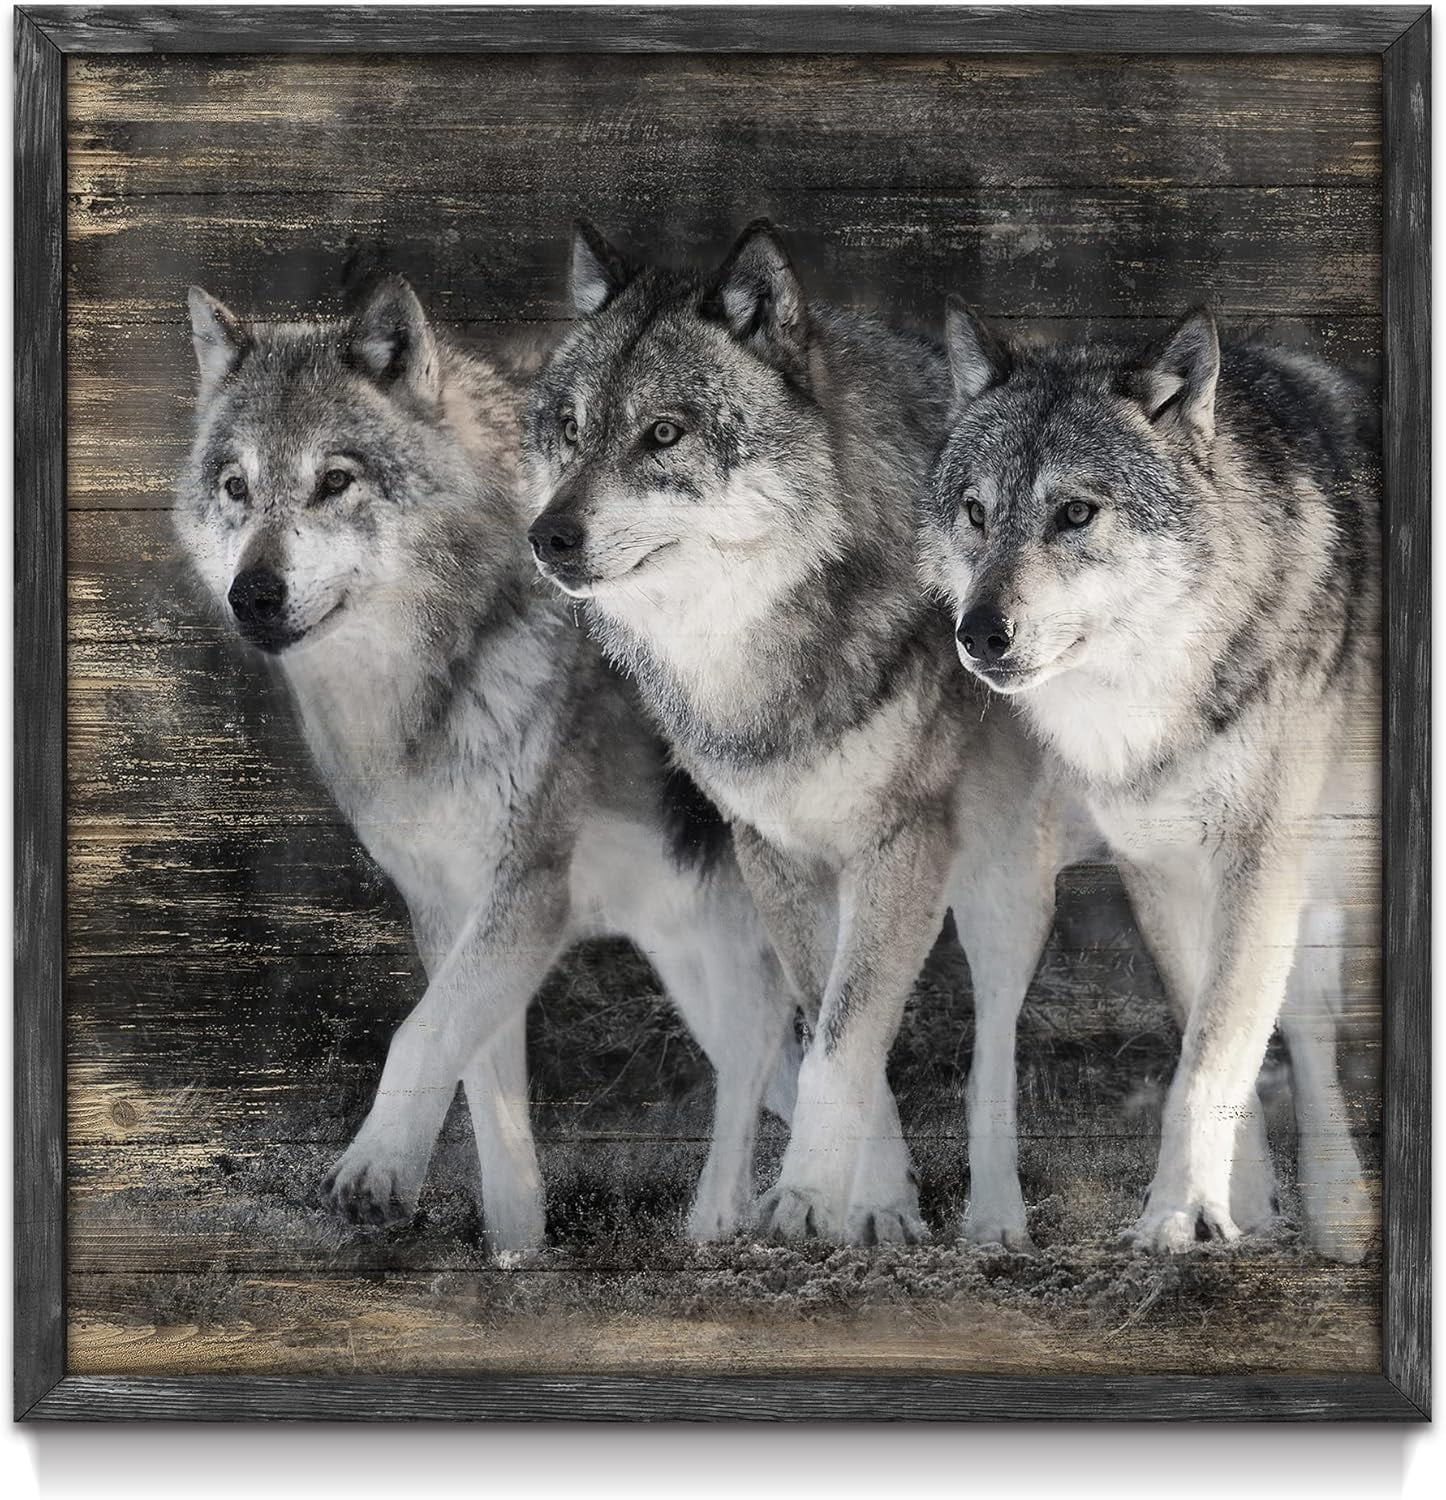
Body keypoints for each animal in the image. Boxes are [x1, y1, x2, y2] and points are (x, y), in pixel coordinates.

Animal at [177, 276, 801, 1252]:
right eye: (237, 487)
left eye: (335, 481)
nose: (254, 594)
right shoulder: (450, 911)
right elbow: (494, 1118)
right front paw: (515, 1258)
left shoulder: (528, 895)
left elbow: (418, 1036)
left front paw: (374, 1173)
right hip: (693, 964)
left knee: (773, 1052)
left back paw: (725, 1222)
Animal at [519, 220, 1096, 1248]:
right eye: (573, 431)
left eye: (663, 433)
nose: (548, 537)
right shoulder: (775, 851)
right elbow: (842, 1032)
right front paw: (874, 1206)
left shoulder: (902, 843)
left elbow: (844, 1037)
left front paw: (804, 1201)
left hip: (1002, 883)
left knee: (996, 1042)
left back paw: (998, 1219)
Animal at [920, 303, 1379, 1261]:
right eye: (976, 512)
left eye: (1075, 513)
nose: (978, 634)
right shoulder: (1161, 869)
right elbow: (1210, 1032)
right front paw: (1232, 1206)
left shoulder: (1257, 857)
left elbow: (1209, 1052)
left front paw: (1176, 1211)